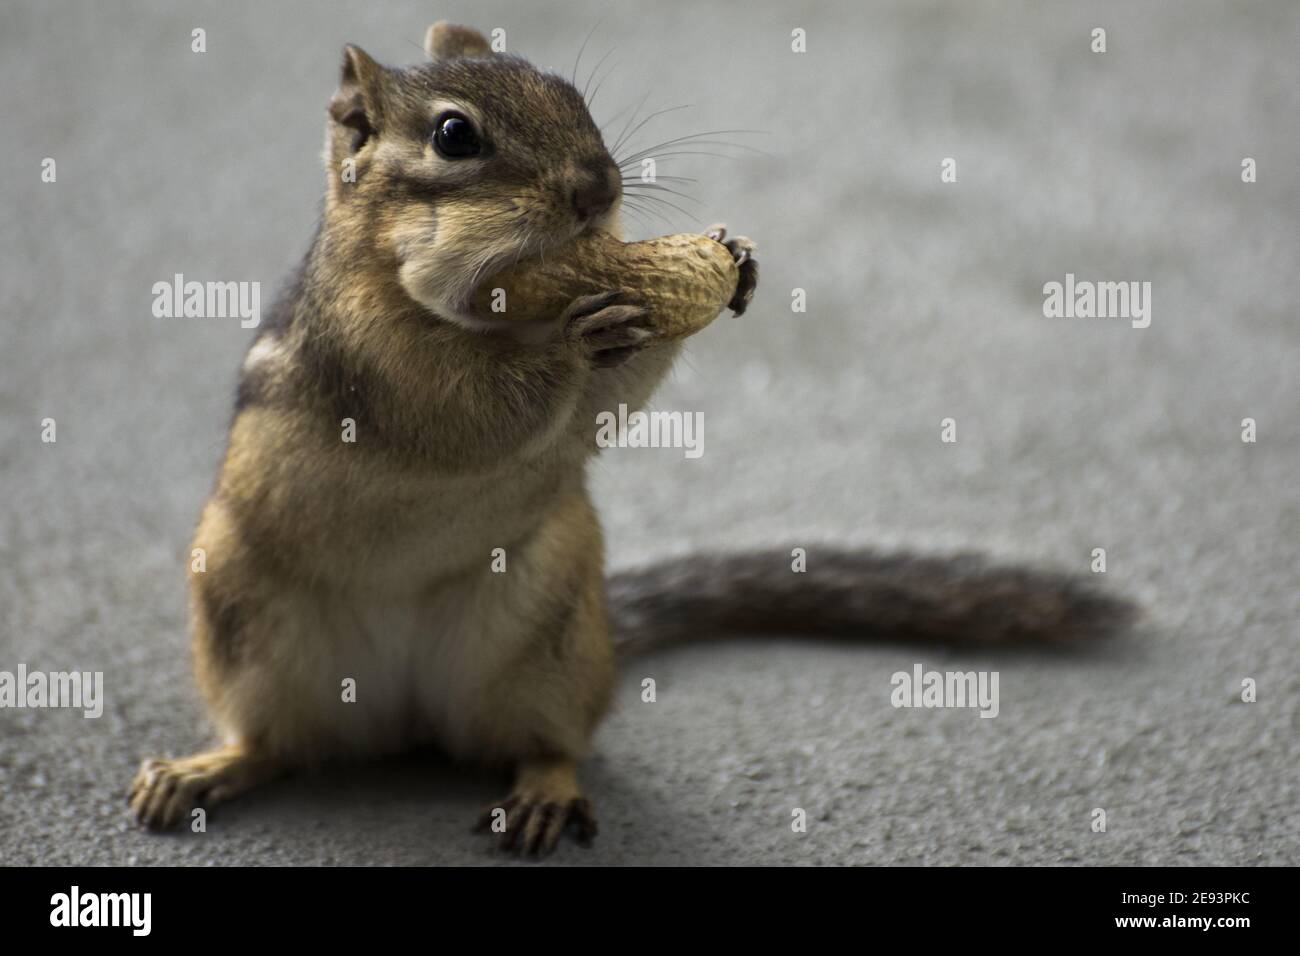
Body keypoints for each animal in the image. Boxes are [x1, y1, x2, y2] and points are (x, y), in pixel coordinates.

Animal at [129, 21, 1134, 856]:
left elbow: (610, 398)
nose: (602, 187)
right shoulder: (377, 356)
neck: (506, 307)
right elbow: (470, 406)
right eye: (454, 137)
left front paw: (730, 259)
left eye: (567, 89)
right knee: (275, 745)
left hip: (548, 631)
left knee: (539, 742)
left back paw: (541, 790)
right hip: (247, 626)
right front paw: (576, 343)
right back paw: (201, 771)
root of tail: (399, 717)